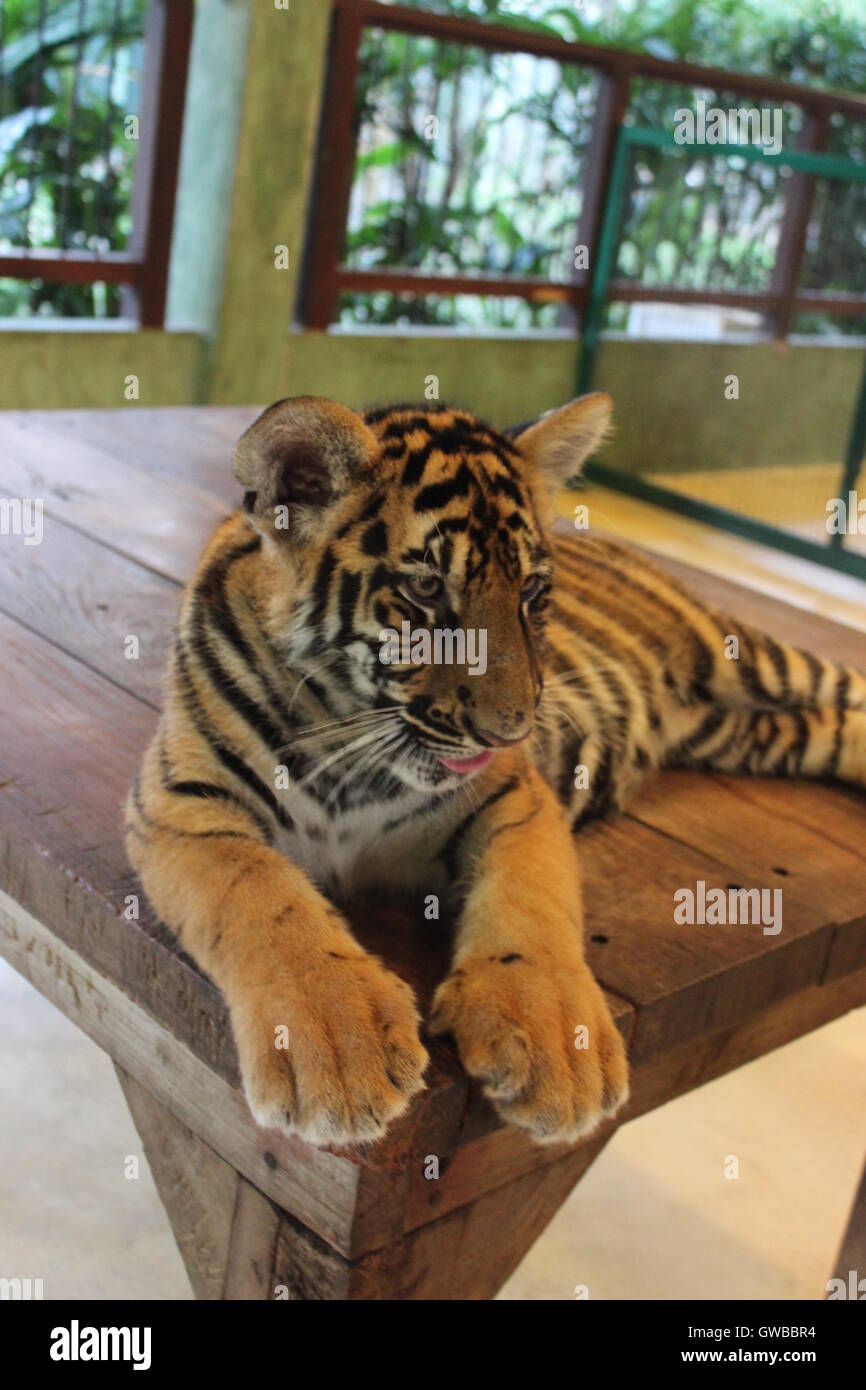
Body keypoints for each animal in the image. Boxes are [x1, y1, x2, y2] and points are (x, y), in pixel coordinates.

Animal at [125, 392, 866, 1150]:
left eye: (533, 591)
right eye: (426, 589)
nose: (509, 730)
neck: (349, 735)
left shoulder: (516, 796)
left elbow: (533, 901)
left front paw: (558, 1053)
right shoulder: (183, 803)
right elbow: (260, 898)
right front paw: (338, 1048)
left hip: (748, 659)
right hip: (746, 733)